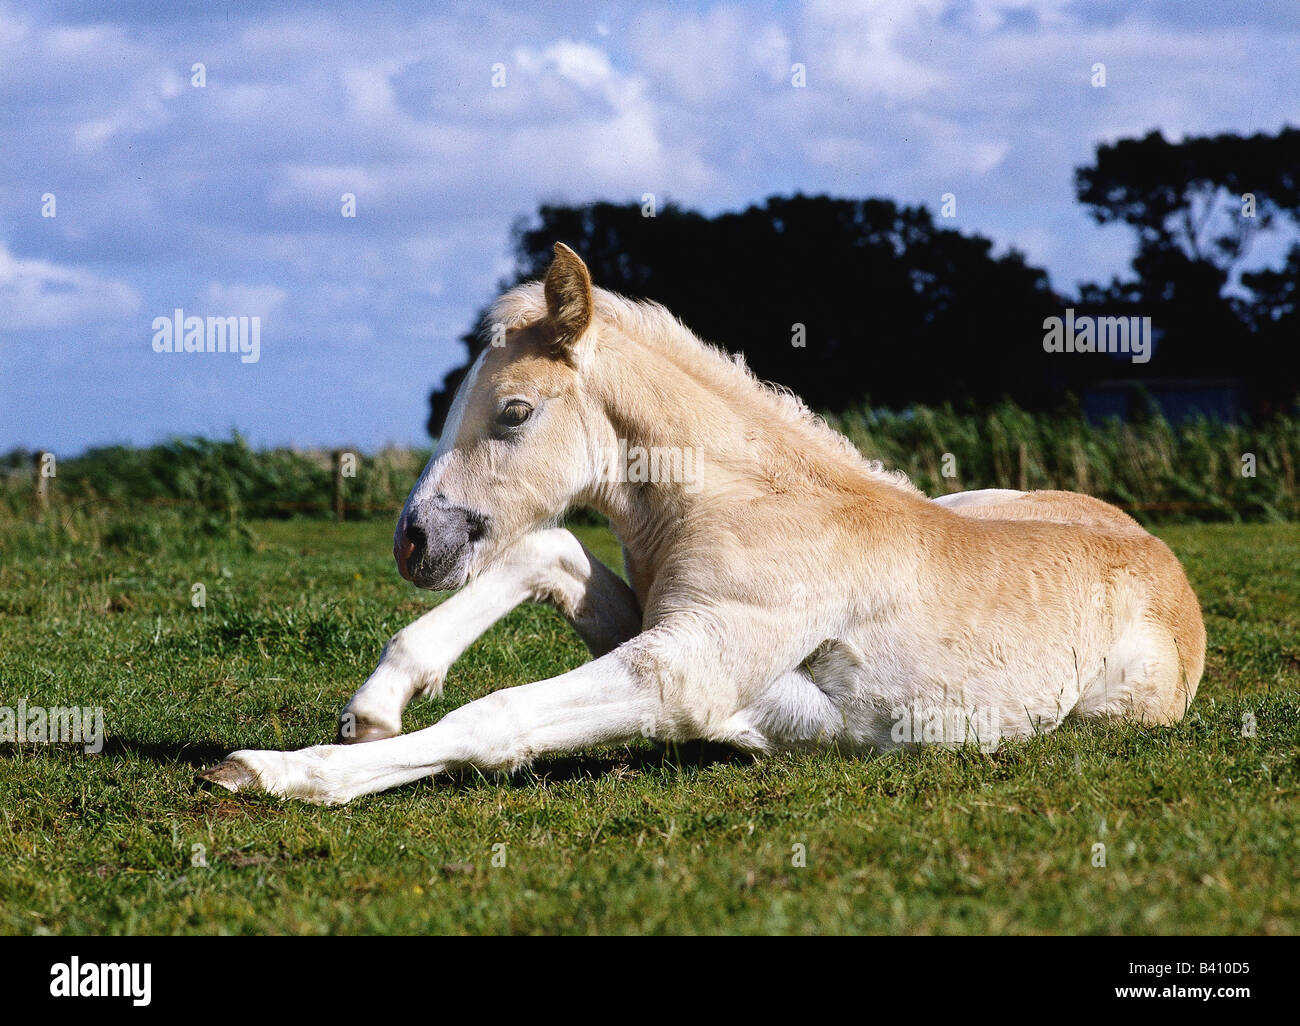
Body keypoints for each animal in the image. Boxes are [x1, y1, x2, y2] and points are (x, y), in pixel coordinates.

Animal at [200, 243, 1206, 804]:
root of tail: (1173, 571)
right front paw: (374, 707)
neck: (753, 505)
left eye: (515, 412)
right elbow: (551, 546)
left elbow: (498, 718)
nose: (416, 541)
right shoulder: (659, 624)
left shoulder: (689, 672)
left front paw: (282, 774)